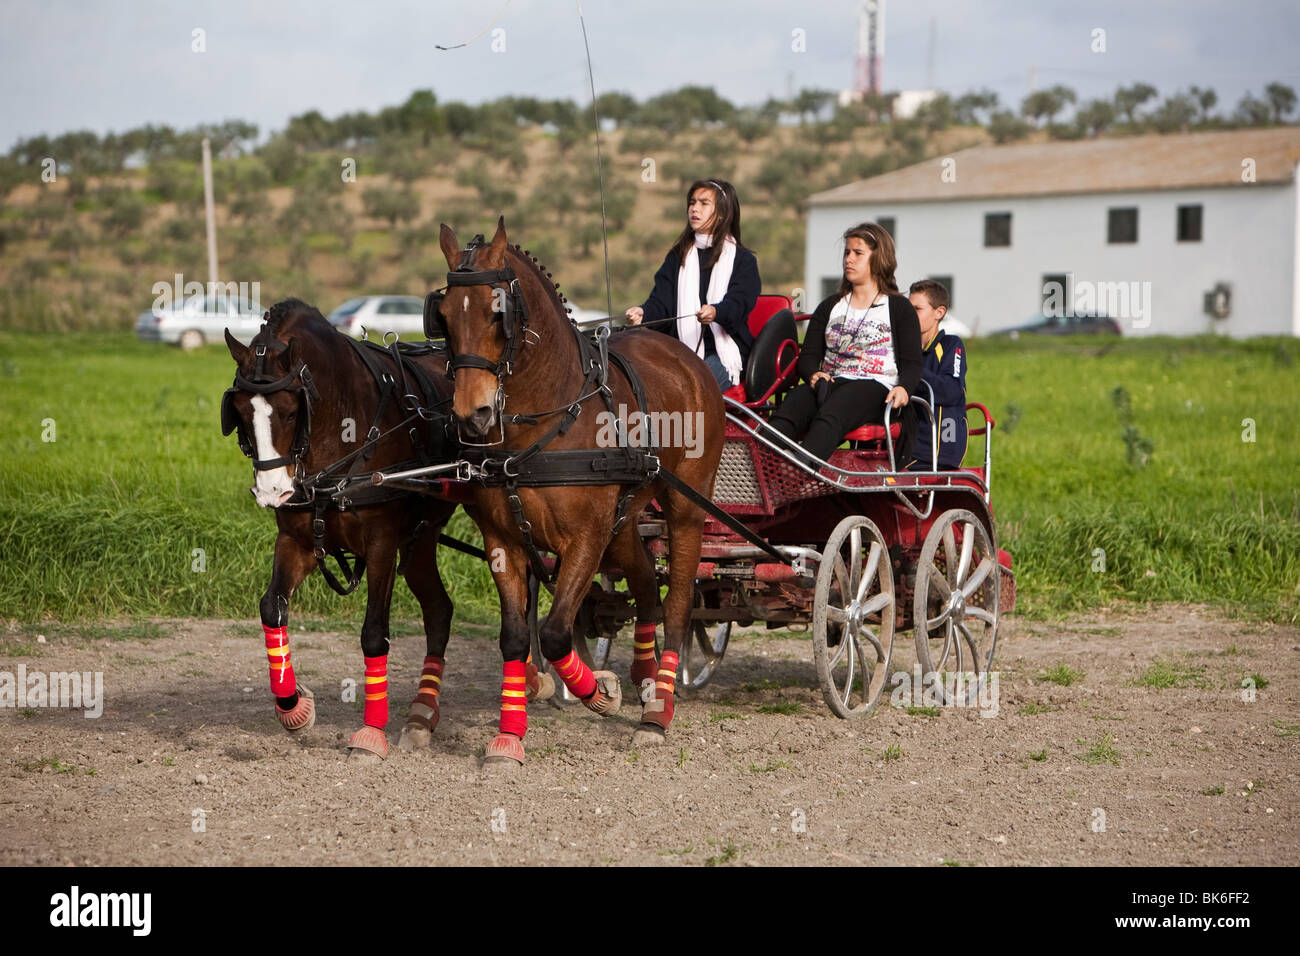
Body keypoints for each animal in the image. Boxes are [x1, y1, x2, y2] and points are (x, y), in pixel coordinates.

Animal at [220, 298, 471, 761]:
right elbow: (271, 608)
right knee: (439, 610)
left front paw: (371, 733)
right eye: (241, 413)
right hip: (422, 539)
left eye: (290, 410)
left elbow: (374, 635)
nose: (272, 491)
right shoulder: (296, 541)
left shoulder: (382, 544)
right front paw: (294, 708)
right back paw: (421, 714)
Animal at [430, 219, 726, 767]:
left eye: (498, 312)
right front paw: (510, 734)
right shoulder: (503, 541)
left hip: (685, 509)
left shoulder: (585, 539)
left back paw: (658, 711)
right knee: (646, 588)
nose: (472, 415)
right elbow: (515, 637)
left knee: (677, 605)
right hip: (625, 521)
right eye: (441, 316)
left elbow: (553, 631)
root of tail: (685, 358)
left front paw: (598, 692)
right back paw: (645, 677)